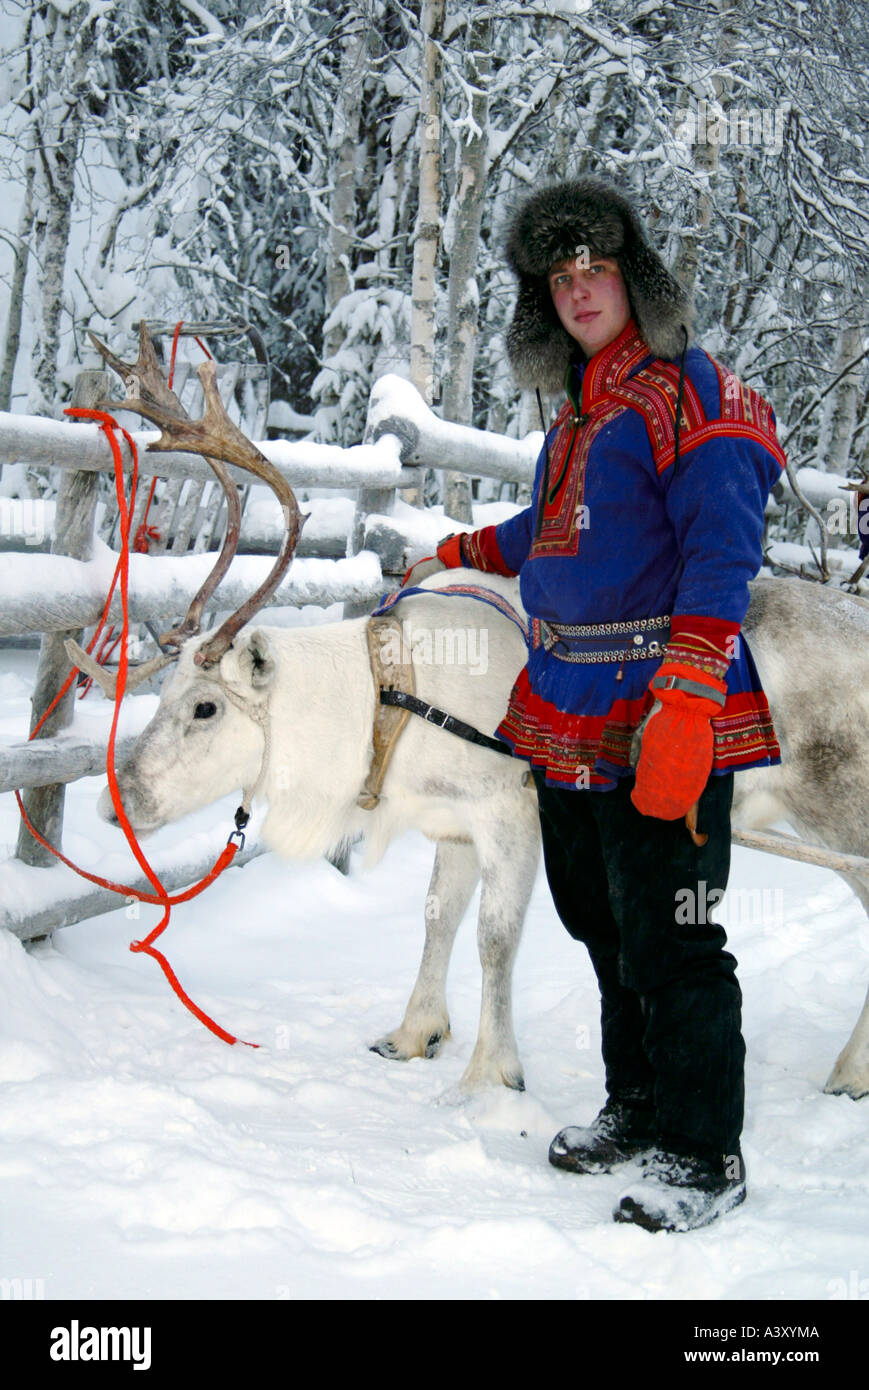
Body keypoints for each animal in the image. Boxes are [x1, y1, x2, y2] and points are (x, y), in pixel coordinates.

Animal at [70, 325, 869, 1101]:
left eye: (205, 707)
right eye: (162, 695)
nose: (117, 803)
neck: (383, 707)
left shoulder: (509, 815)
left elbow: (493, 937)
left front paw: (490, 1075)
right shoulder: (450, 824)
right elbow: (436, 917)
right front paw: (413, 1032)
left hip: (840, 809)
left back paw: (848, 1072)